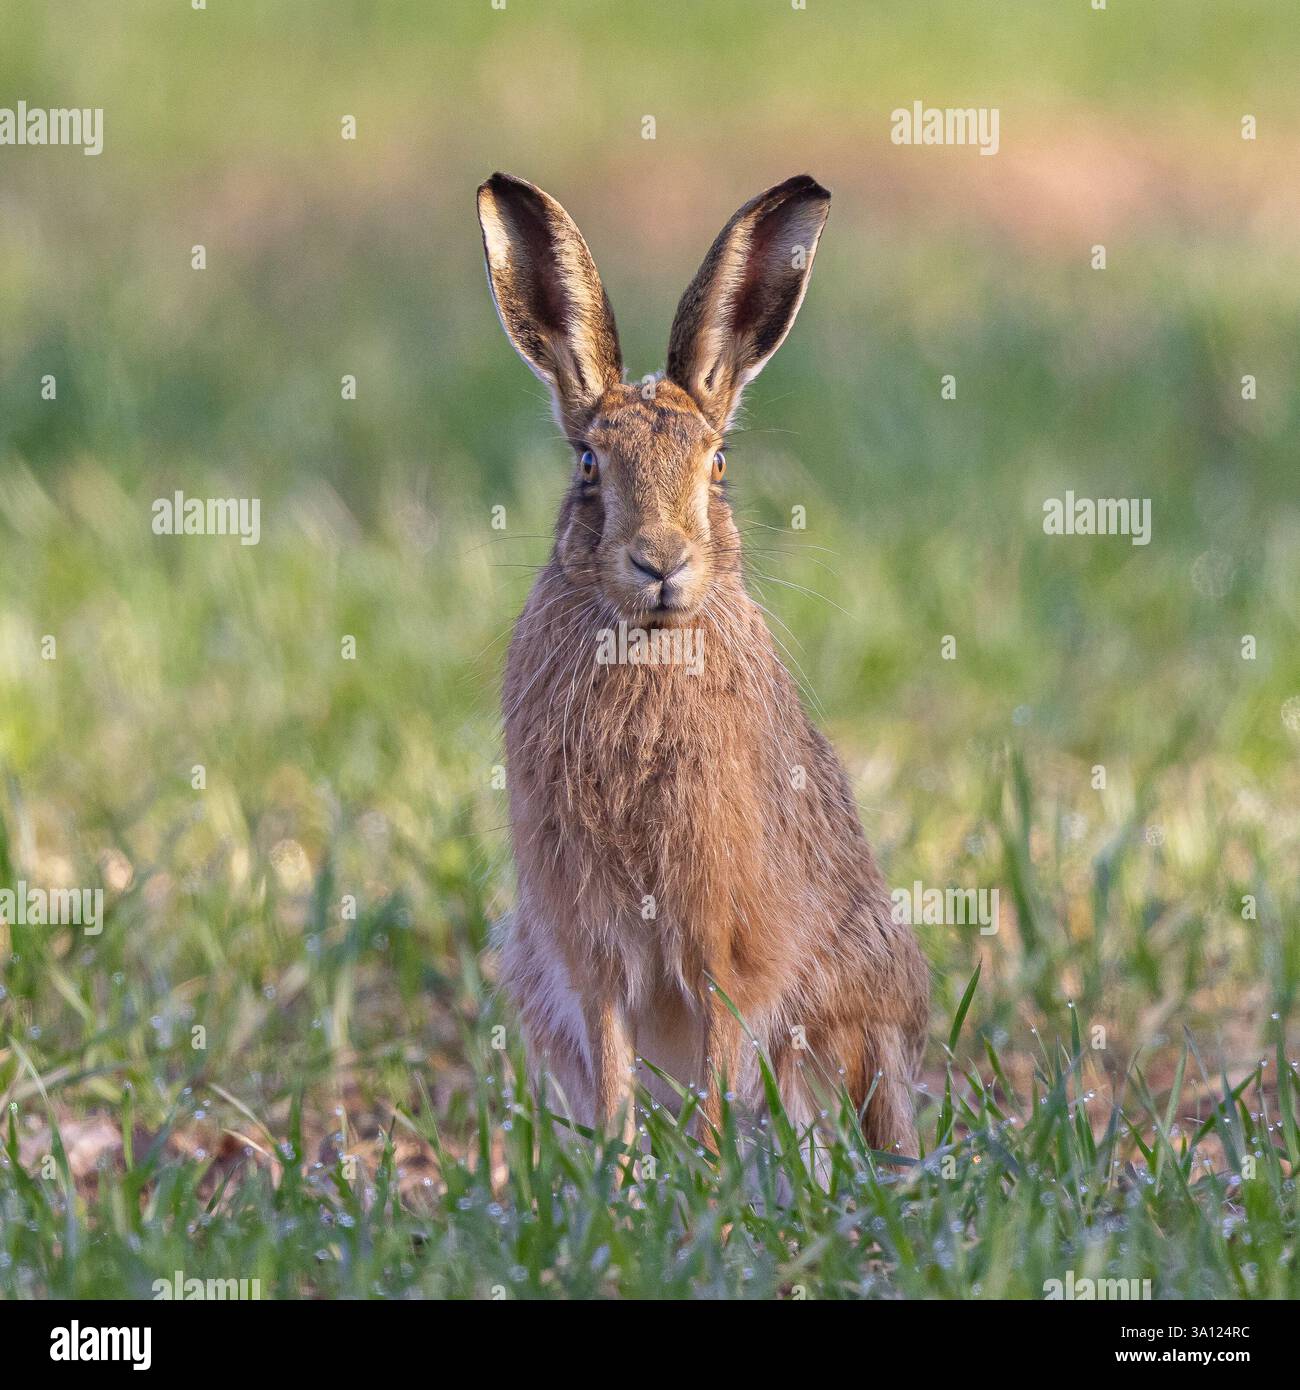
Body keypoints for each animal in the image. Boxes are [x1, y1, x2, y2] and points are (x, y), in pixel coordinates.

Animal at [477, 171, 929, 1156]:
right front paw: (618, 1169)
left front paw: (709, 1165)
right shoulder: (593, 949)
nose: (660, 561)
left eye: (716, 465)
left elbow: (724, 1054)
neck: (646, 638)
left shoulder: (727, 941)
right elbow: (614, 1067)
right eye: (588, 465)